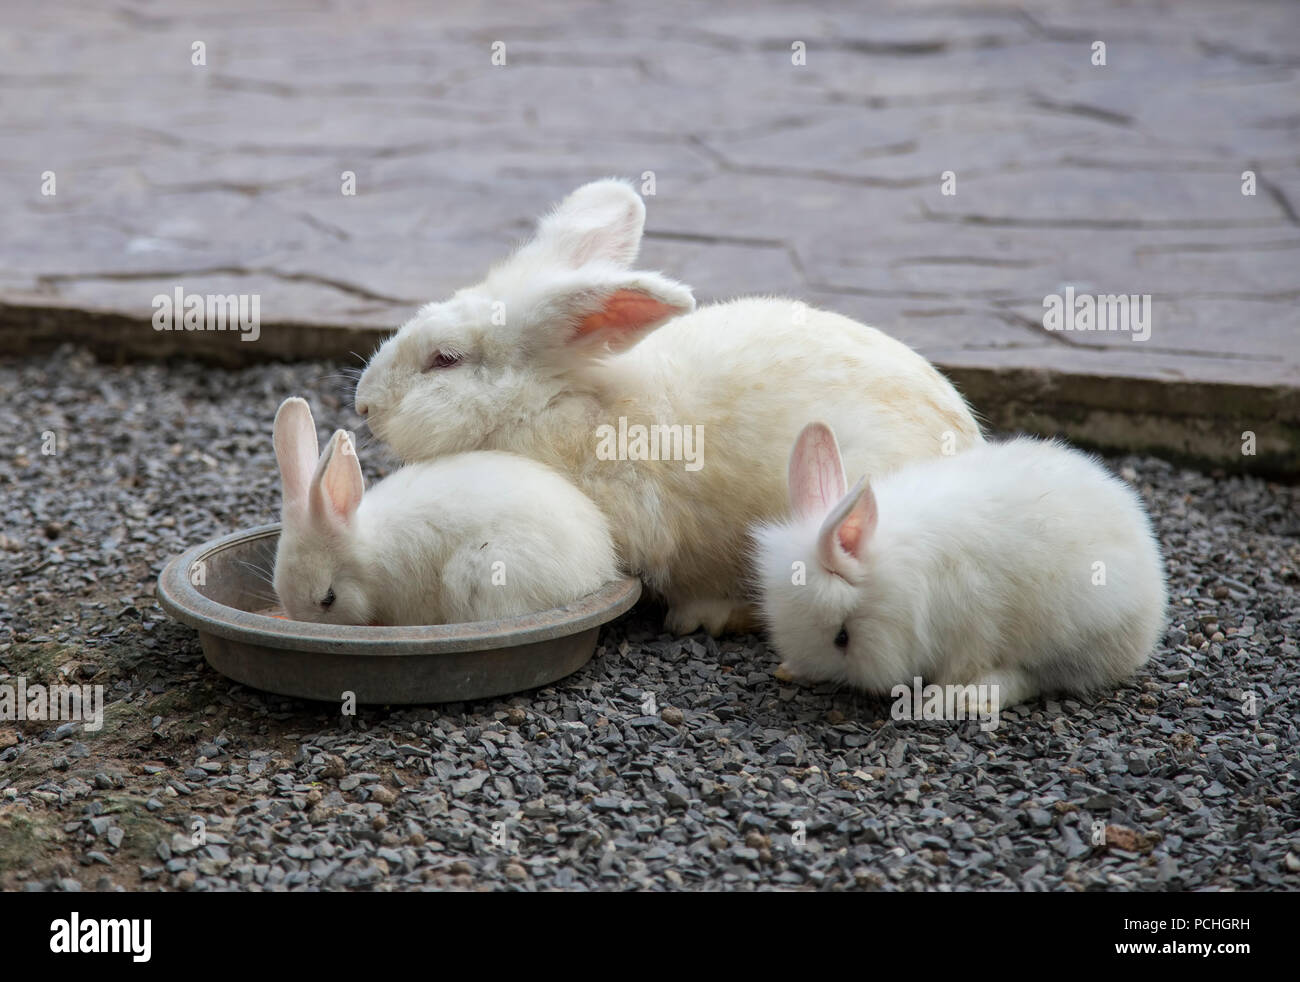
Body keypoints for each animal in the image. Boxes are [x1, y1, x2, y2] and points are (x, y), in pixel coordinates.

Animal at [751, 421, 1167, 708]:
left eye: (843, 637)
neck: (901, 575)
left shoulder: (971, 628)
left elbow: (962, 667)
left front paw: (936, 697)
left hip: (1074, 628)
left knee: (1037, 678)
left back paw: (967, 700)